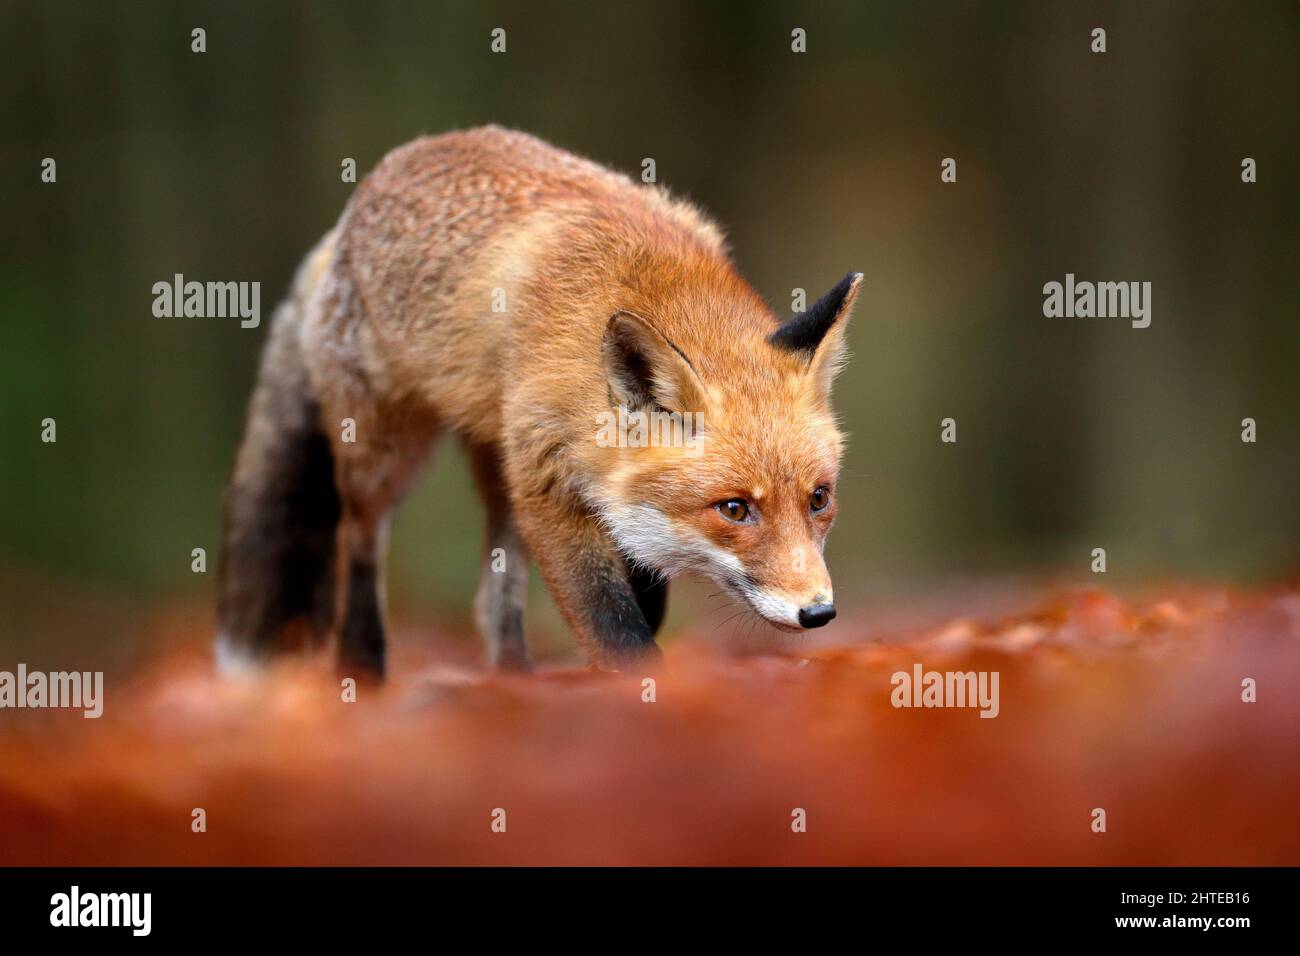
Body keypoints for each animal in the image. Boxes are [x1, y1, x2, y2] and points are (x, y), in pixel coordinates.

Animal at [216, 126, 862, 678]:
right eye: (734, 508)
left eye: (819, 499)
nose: (818, 613)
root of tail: (344, 224)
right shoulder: (546, 482)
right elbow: (616, 629)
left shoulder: (595, 492)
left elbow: (639, 594)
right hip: (384, 451)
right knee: (359, 541)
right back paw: (362, 670)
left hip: (498, 472)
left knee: (491, 602)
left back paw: (512, 682)